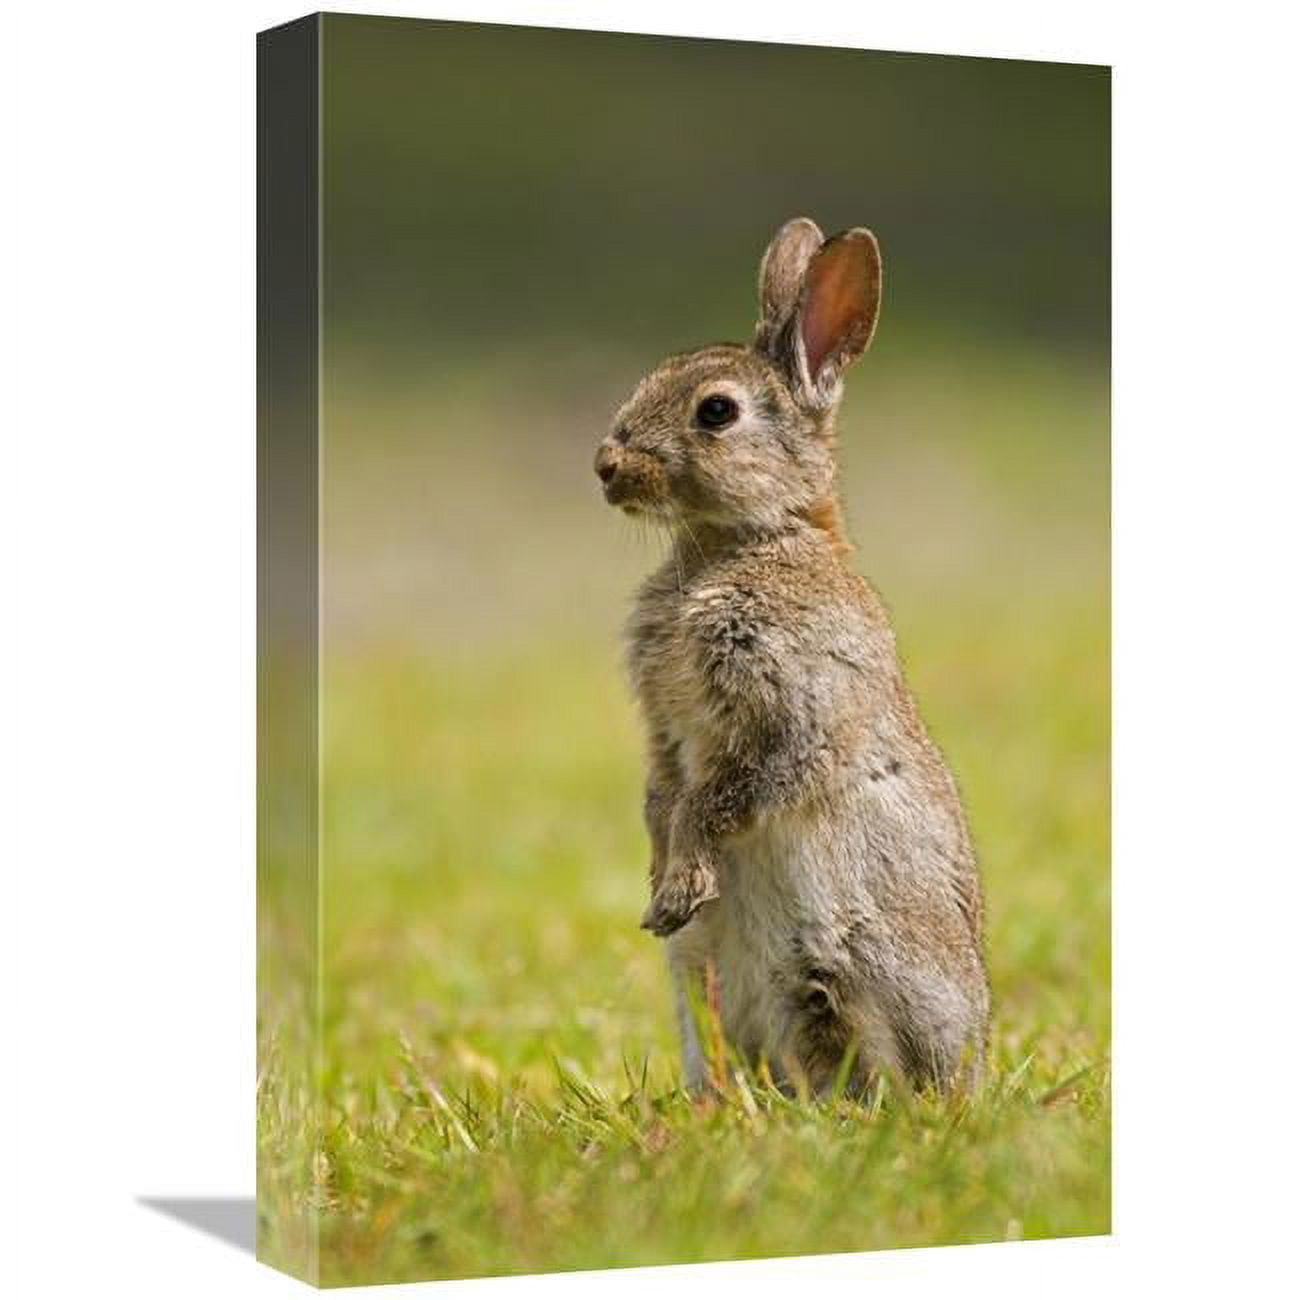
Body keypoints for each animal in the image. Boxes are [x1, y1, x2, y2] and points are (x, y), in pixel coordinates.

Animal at [593, 217, 989, 1096]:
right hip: (704, 983)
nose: (607, 466)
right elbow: (664, 795)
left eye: (716, 412)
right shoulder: (665, 731)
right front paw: (660, 891)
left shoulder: (791, 709)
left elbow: (721, 796)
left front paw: (682, 884)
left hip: (847, 958)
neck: (751, 538)